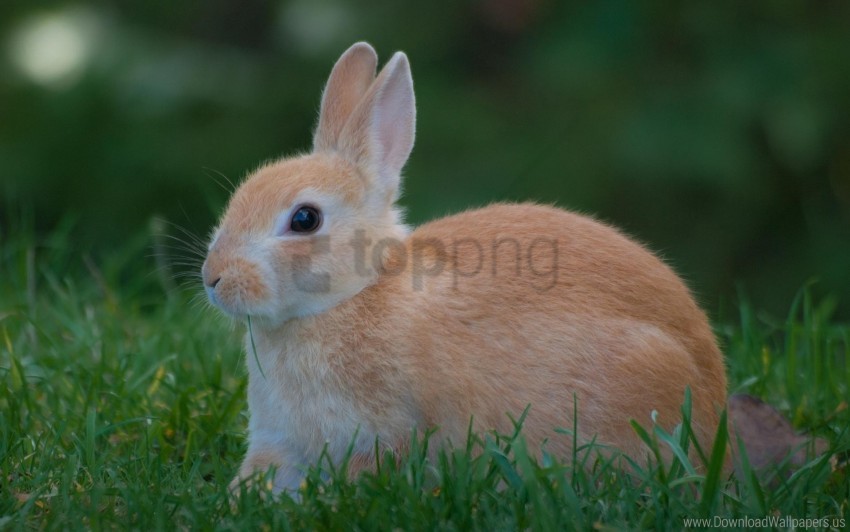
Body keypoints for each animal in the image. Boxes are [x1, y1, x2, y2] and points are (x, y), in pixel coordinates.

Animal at [201, 42, 728, 493]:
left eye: (304, 219)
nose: (213, 279)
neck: (350, 297)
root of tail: (713, 400)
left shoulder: (382, 433)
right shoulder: (281, 440)